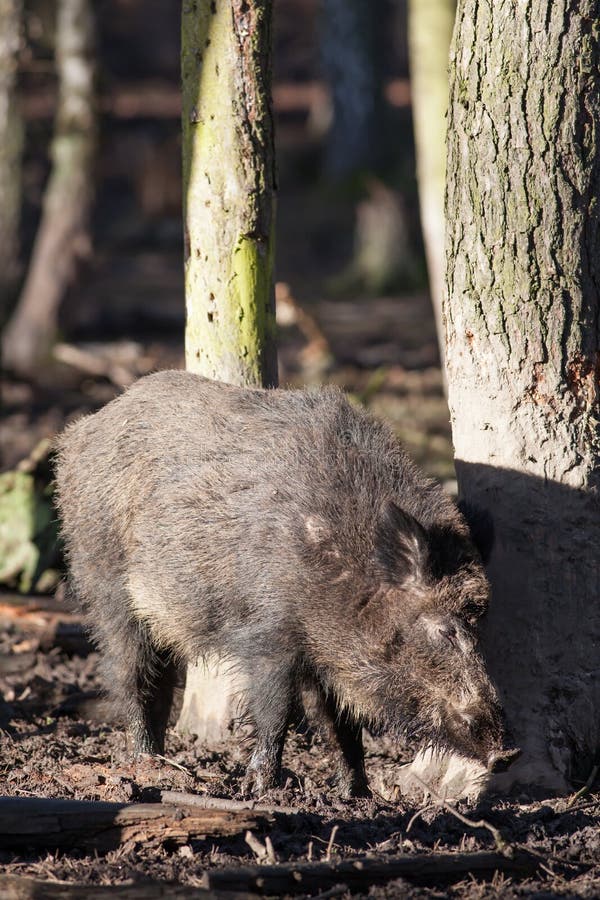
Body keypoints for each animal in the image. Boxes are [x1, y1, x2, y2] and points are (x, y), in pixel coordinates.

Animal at [54, 370, 517, 797]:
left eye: (481, 623)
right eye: (443, 629)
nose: (508, 752)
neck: (344, 568)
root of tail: (78, 434)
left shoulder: (326, 653)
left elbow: (340, 723)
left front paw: (358, 795)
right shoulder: (271, 632)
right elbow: (277, 708)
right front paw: (263, 788)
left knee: (162, 677)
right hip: (105, 581)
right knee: (131, 673)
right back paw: (146, 763)